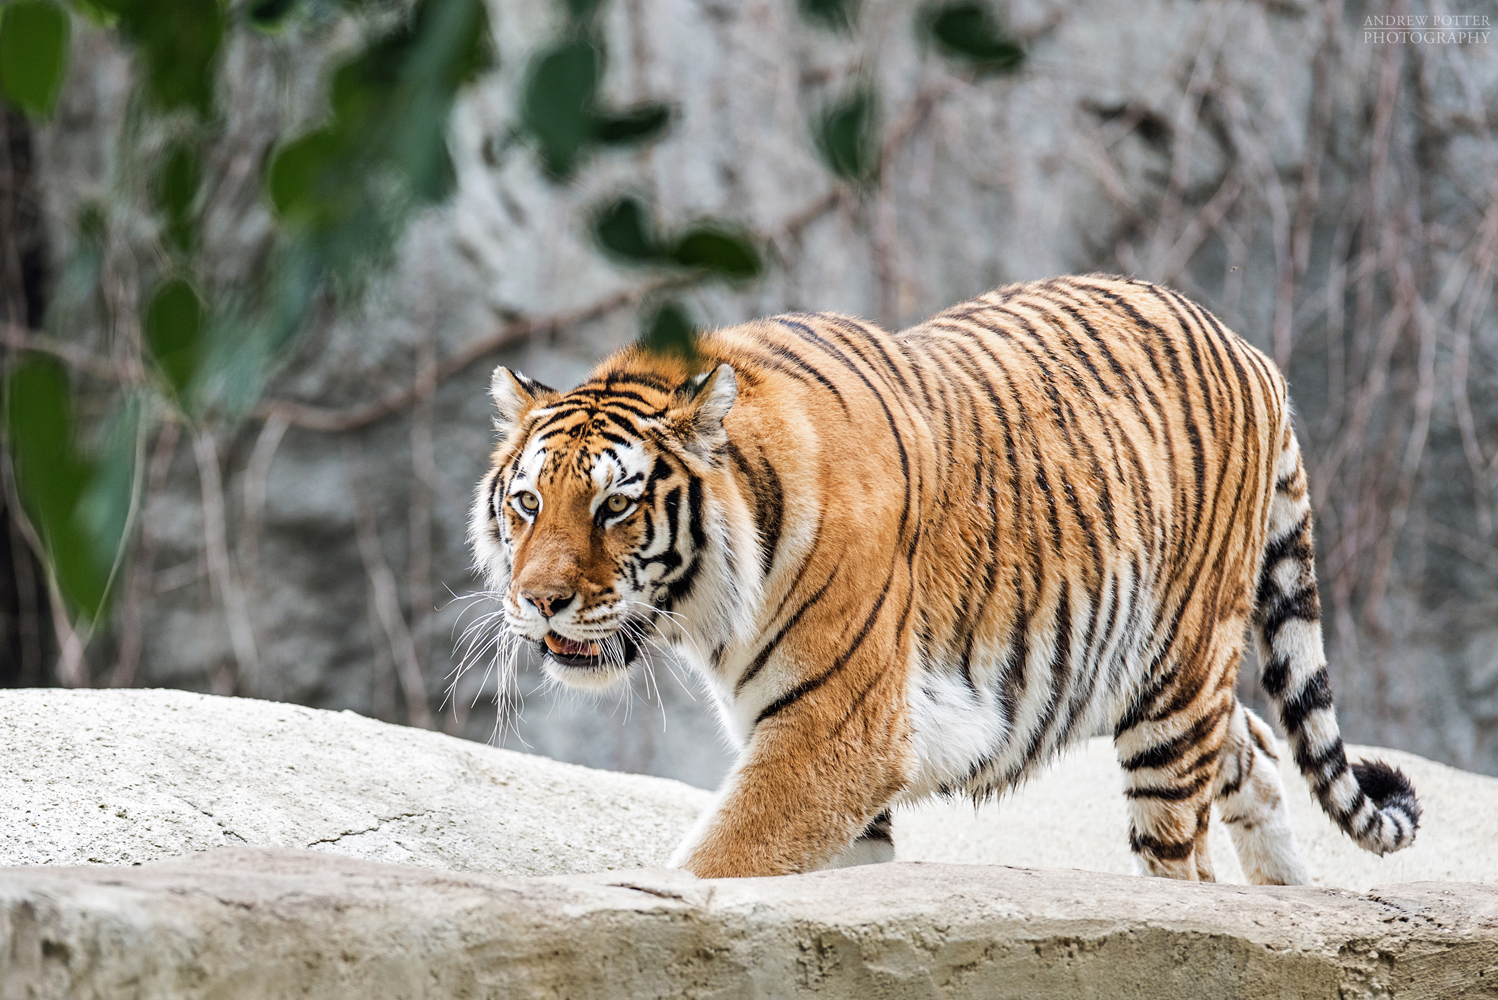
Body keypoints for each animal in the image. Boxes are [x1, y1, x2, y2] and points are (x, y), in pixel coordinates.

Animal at [467, 273, 1420, 882]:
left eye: (614, 507)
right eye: (527, 503)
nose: (538, 601)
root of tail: (1254, 352)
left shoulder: (833, 735)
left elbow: (718, 863)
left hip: (1177, 682)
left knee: (1186, 859)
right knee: (1254, 743)